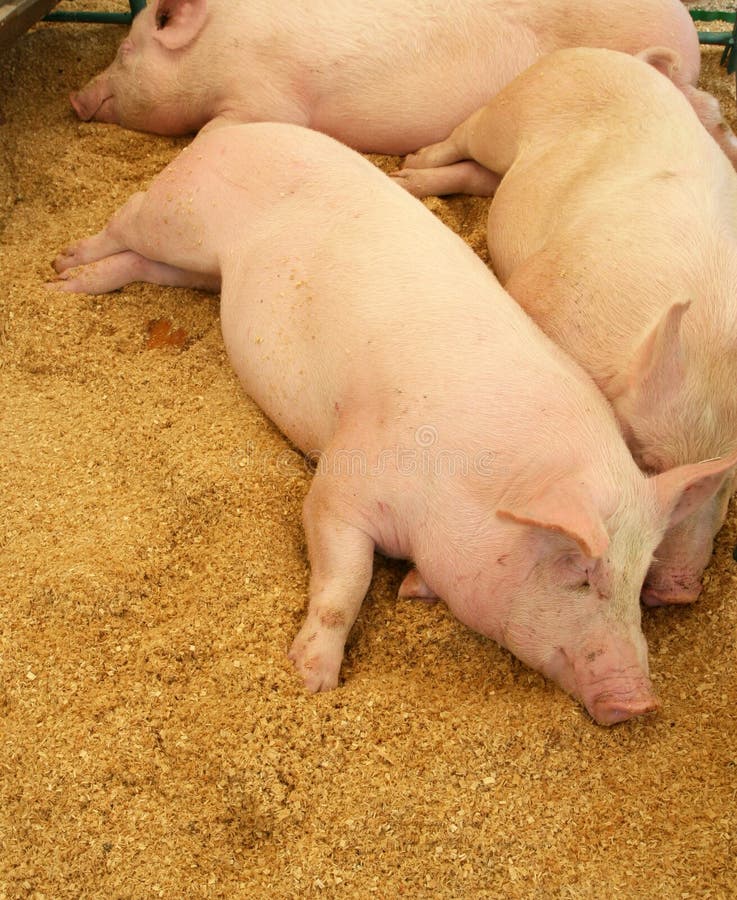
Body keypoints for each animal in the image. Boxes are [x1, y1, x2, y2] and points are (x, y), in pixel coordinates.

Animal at [47, 121, 737, 724]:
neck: (473, 486)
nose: (640, 703)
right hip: (179, 217)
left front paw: (409, 592)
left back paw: (76, 282)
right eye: (580, 573)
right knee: (129, 211)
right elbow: (346, 578)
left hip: (197, 270)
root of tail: (241, 127)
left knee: (142, 267)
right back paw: (60, 268)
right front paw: (312, 679)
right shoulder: (343, 481)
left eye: (638, 578)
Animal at [394, 46, 737, 606]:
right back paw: (410, 167)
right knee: (464, 136)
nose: (679, 592)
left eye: (728, 478)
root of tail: (614, 55)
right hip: (507, 111)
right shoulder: (536, 293)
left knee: (481, 178)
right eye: (644, 457)